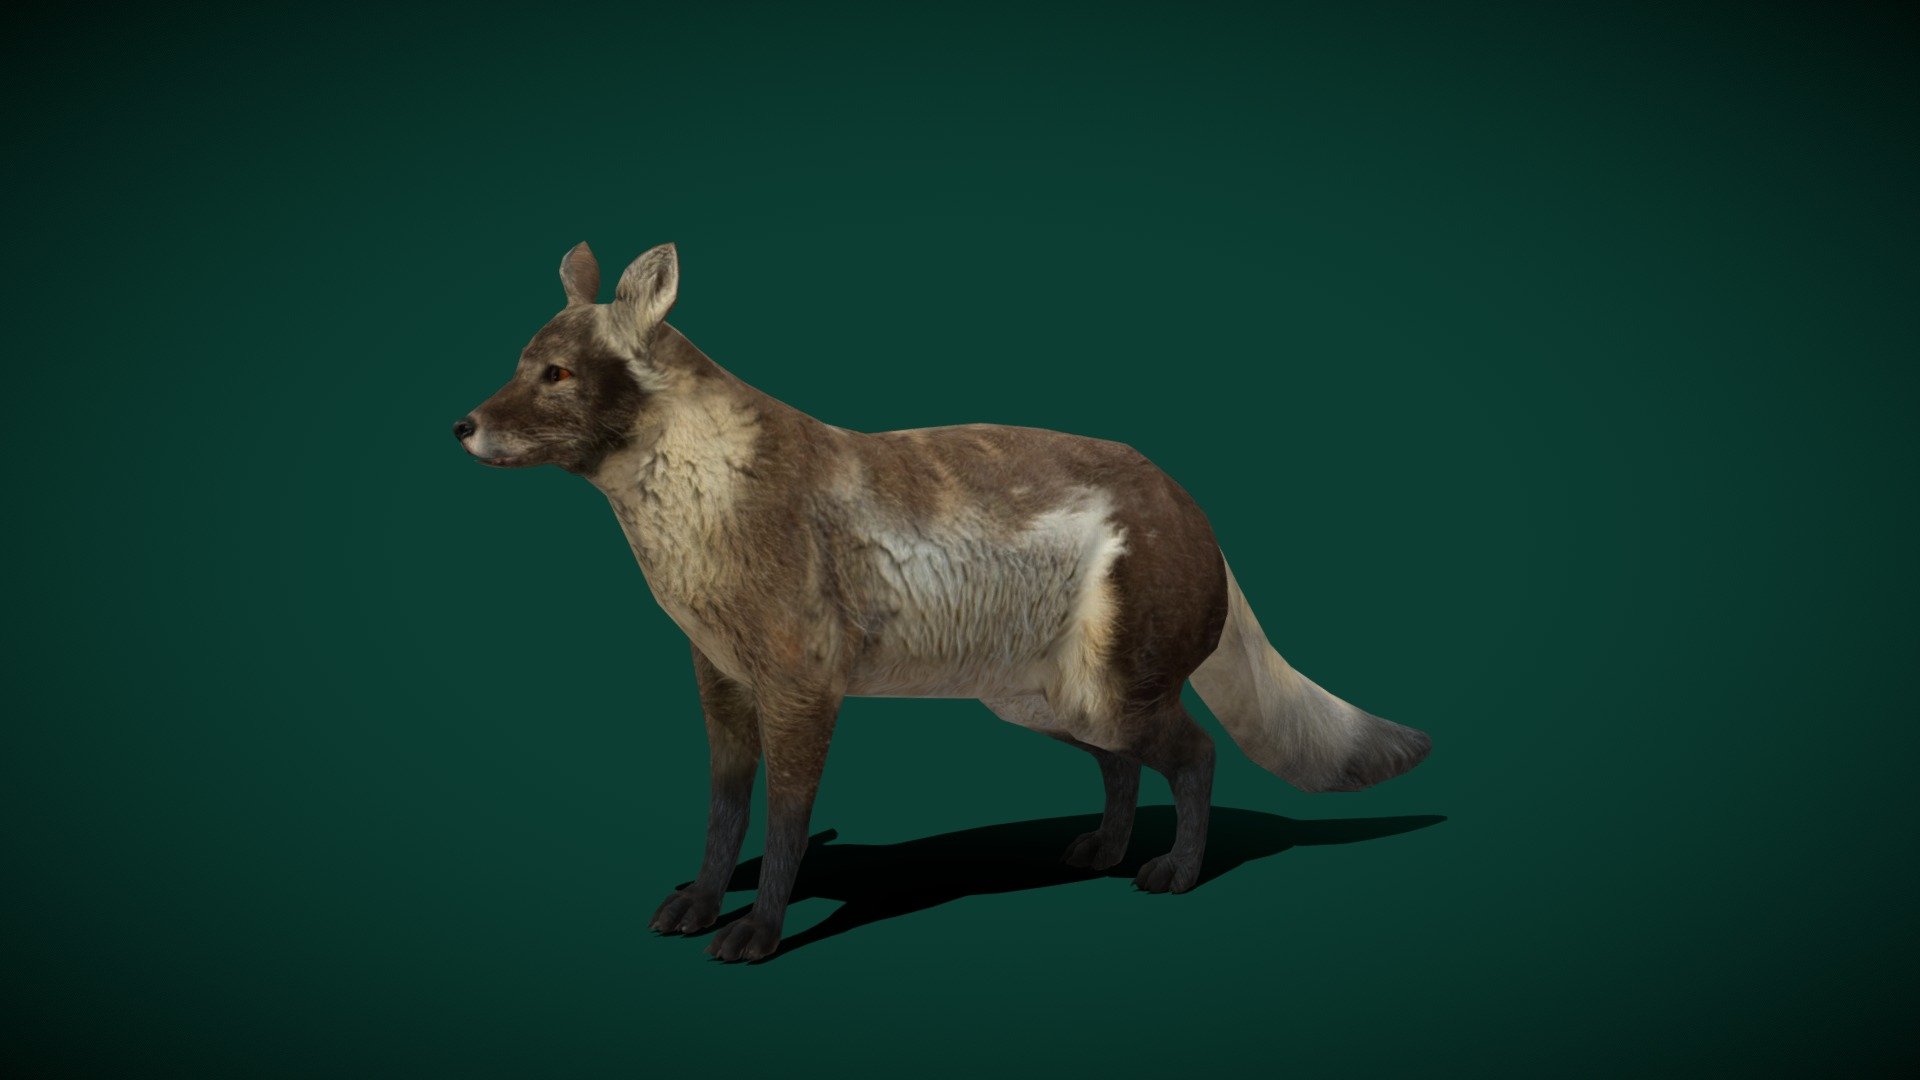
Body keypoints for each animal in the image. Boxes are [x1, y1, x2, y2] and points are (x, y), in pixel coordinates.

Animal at [453, 242, 1432, 962]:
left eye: (555, 375)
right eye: (519, 366)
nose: (460, 425)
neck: (701, 514)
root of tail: (1192, 505)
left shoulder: (803, 692)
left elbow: (783, 826)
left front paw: (759, 933)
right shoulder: (722, 684)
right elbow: (723, 818)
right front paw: (698, 903)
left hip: (1108, 699)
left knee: (1196, 758)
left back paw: (1174, 873)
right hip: (1046, 704)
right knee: (1124, 772)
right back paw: (1103, 852)